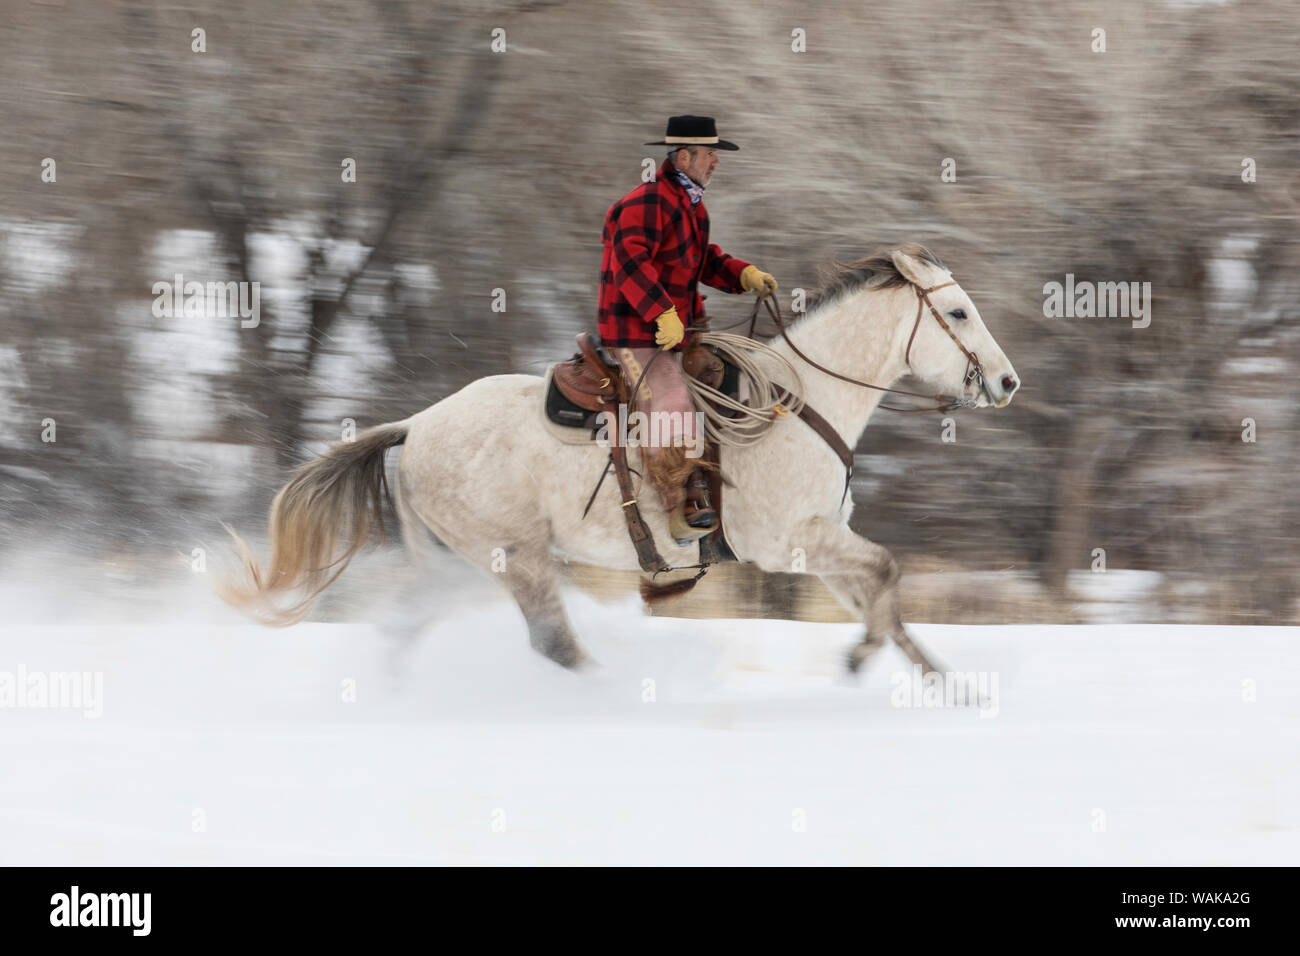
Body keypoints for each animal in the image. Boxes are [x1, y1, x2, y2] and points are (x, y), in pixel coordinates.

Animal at [218, 243, 1020, 675]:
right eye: (956, 313)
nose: (1008, 382)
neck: (800, 400)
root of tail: (413, 428)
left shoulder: (822, 542)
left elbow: (883, 596)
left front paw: (944, 685)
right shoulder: (791, 542)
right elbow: (886, 573)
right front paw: (858, 659)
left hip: (454, 564)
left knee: (404, 630)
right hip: (520, 557)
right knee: (554, 644)